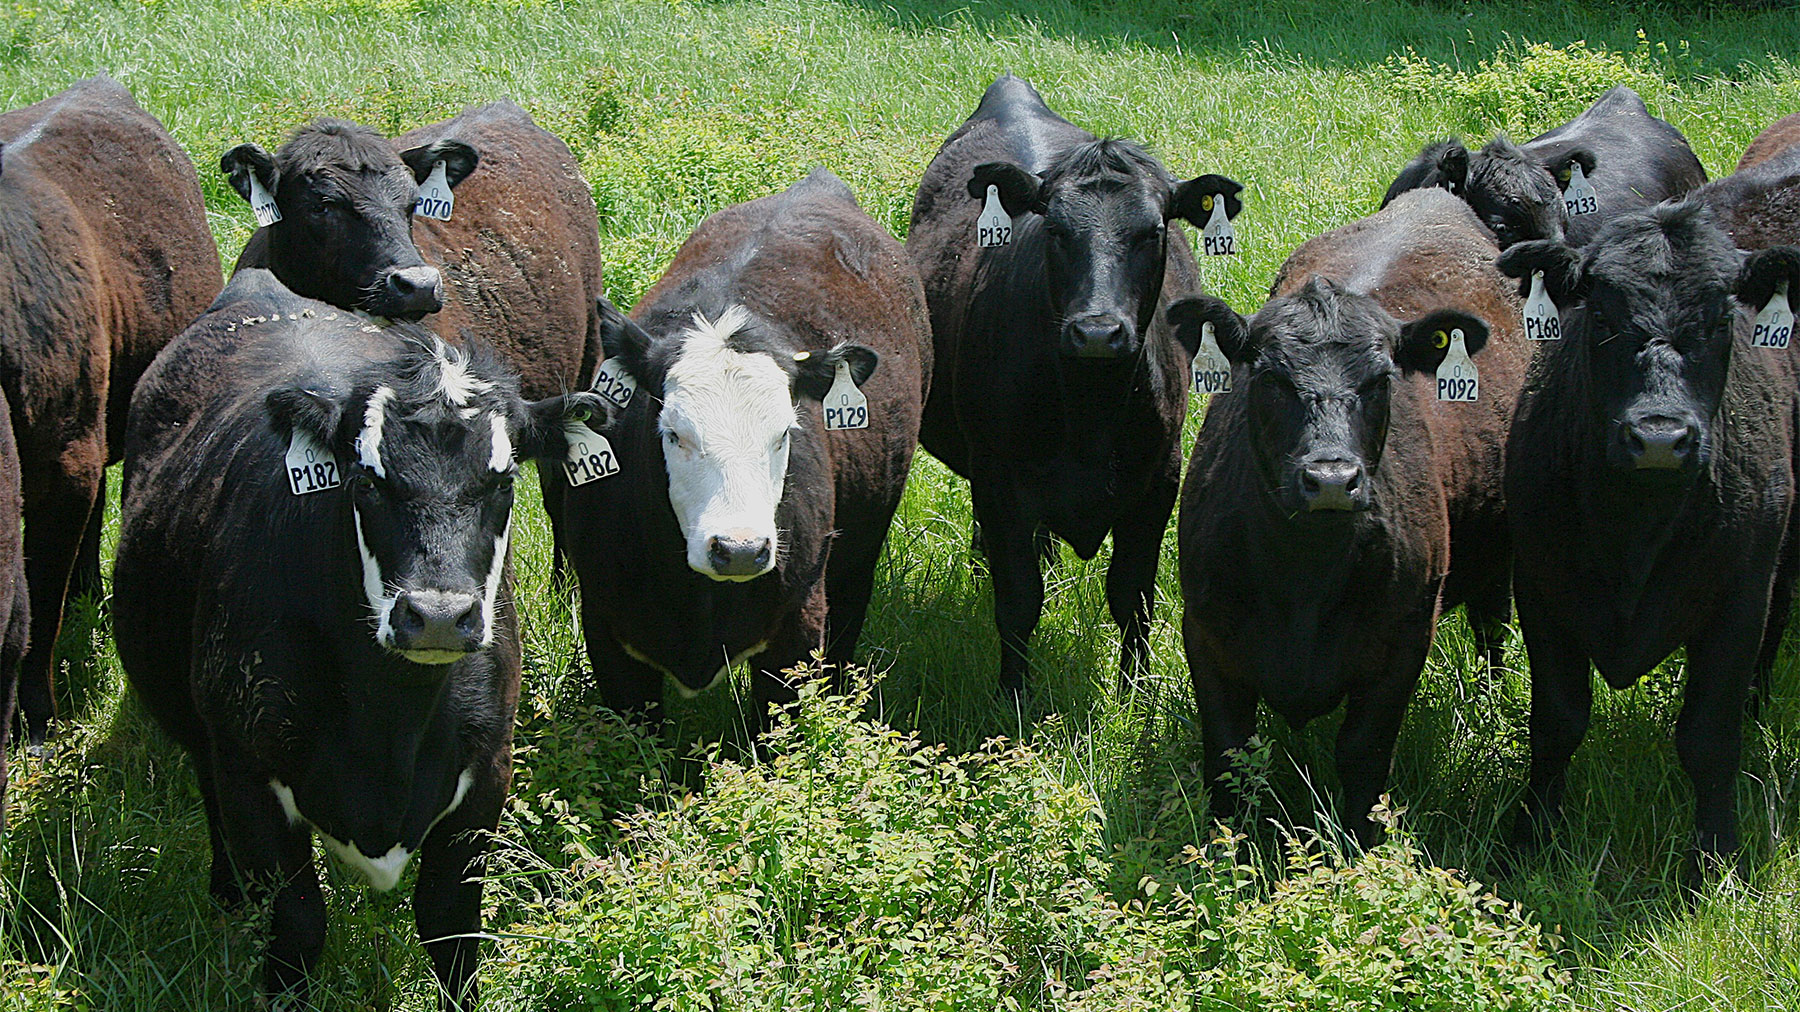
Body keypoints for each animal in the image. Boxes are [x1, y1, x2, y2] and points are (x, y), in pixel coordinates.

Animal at [114, 269, 600, 1008]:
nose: (437, 614)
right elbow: (296, 926)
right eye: (368, 480)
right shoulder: (250, 772)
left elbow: (451, 927)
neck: (388, 729)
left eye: (503, 479)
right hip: (207, 734)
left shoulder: (486, 772)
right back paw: (226, 893)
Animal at [566, 168, 929, 728]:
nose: (738, 549)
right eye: (673, 432)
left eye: (784, 433)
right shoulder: (609, 634)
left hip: (857, 554)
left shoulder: (798, 627)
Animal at [905, 73, 1240, 694]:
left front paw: (1135, 694)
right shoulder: (999, 479)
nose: (1097, 331)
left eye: (1153, 231)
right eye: (1056, 230)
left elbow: (1132, 597)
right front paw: (1012, 697)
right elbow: (1018, 600)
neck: (1091, 409)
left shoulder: (1160, 478)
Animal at [1172, 188, 1528, 845]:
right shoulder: (1207, 635)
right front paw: (1227, 853)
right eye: (1270, 376)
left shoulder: (1402, 644)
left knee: (1493, 624)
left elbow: (1362, 757)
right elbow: (1230, 760)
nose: (1332, 480)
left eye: (1382, 378)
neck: (1302, 582)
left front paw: (1364, 848)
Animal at [1497, 201, 1800, 875]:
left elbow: (1709, 736)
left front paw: (1716, 854)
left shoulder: (1740, 597)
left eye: (1721, 319)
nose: (1660, 438)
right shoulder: (1541, 587)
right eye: (1602, 316)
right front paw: (1532, 832)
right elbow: (1557, 722)